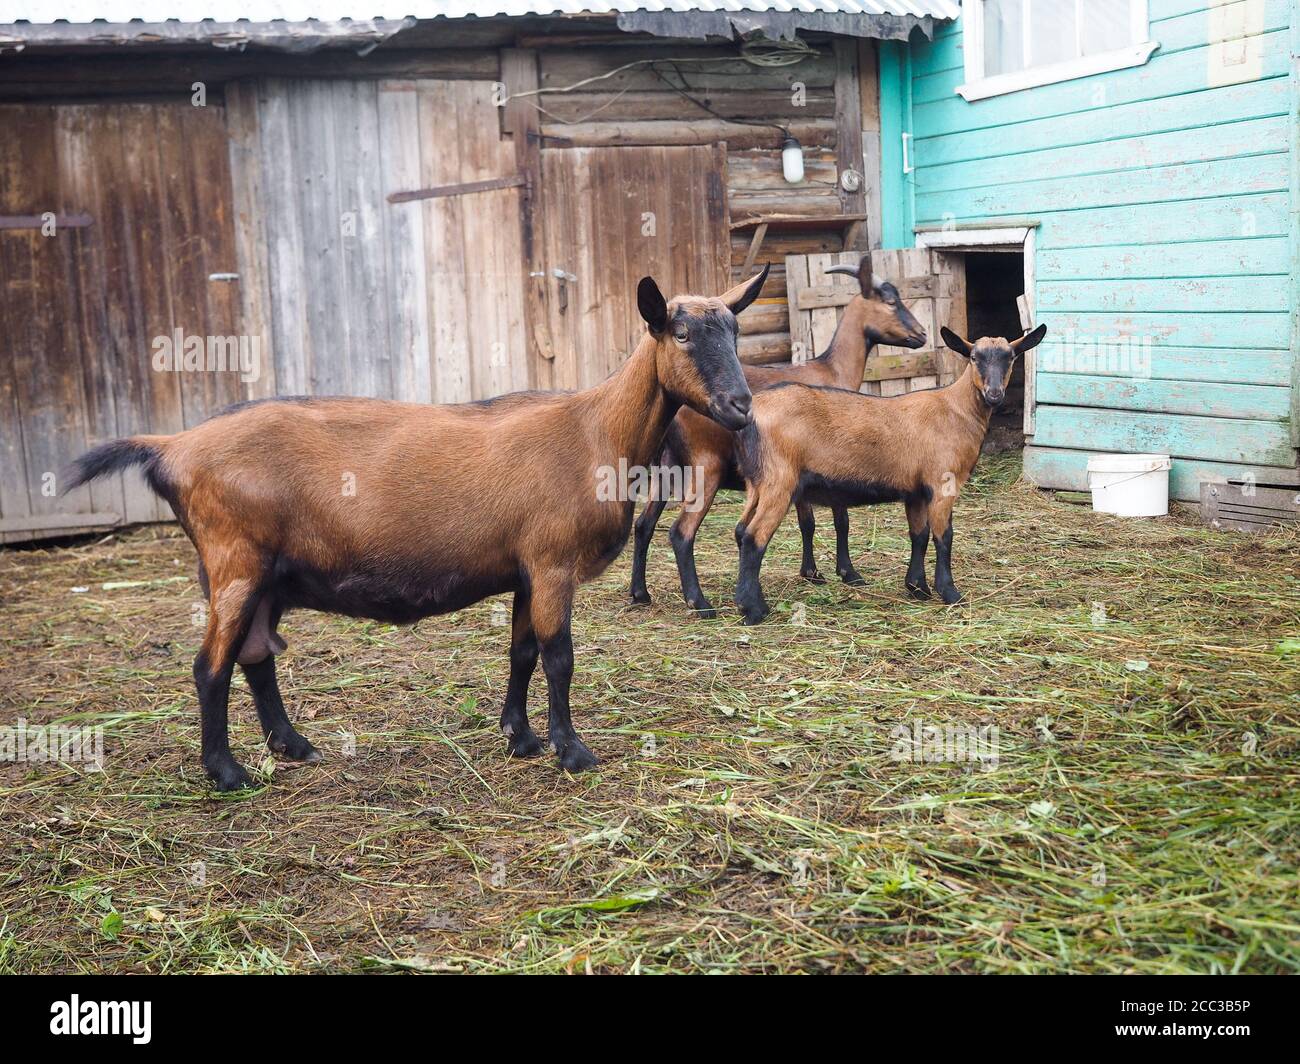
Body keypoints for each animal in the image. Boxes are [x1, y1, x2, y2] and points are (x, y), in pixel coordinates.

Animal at [66, 267, 770, 790]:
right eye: (680, 332)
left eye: (736, 330)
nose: (740, 406)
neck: (594, 430)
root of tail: (172, 448)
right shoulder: (551, 562)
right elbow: (559, 656)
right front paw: (572, 751)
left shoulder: (525, 568)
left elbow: (521, 652)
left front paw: (520, 737)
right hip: (233, 559)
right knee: (210, 665)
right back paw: (227, 772)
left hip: (261, 573)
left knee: (256, 655)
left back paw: (293, 745)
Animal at [628, 255, 927, 617]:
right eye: (891, 301)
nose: (922, 335)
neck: (831, 369)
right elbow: (838, 520)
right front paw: (847, 573)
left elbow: (806, 523)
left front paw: (811, 572)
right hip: (705, 466)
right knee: (681, 532)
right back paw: (700, 604)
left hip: (666, 467)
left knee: (643, 525)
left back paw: (639, 593)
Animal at [731, 323, 1047, 624]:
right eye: (974, 357)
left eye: (1011, 357)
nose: (994, 394)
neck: (956, 410)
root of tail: (753, 414)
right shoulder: (943, 483)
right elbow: (944, 536)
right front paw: (950, 593)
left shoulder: (917, 492)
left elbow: (918, 535)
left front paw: (917, 587)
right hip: (779, 480)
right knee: (755, 537)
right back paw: (754, 610)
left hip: (758, 482)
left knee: (741, 530)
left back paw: (744, 600)